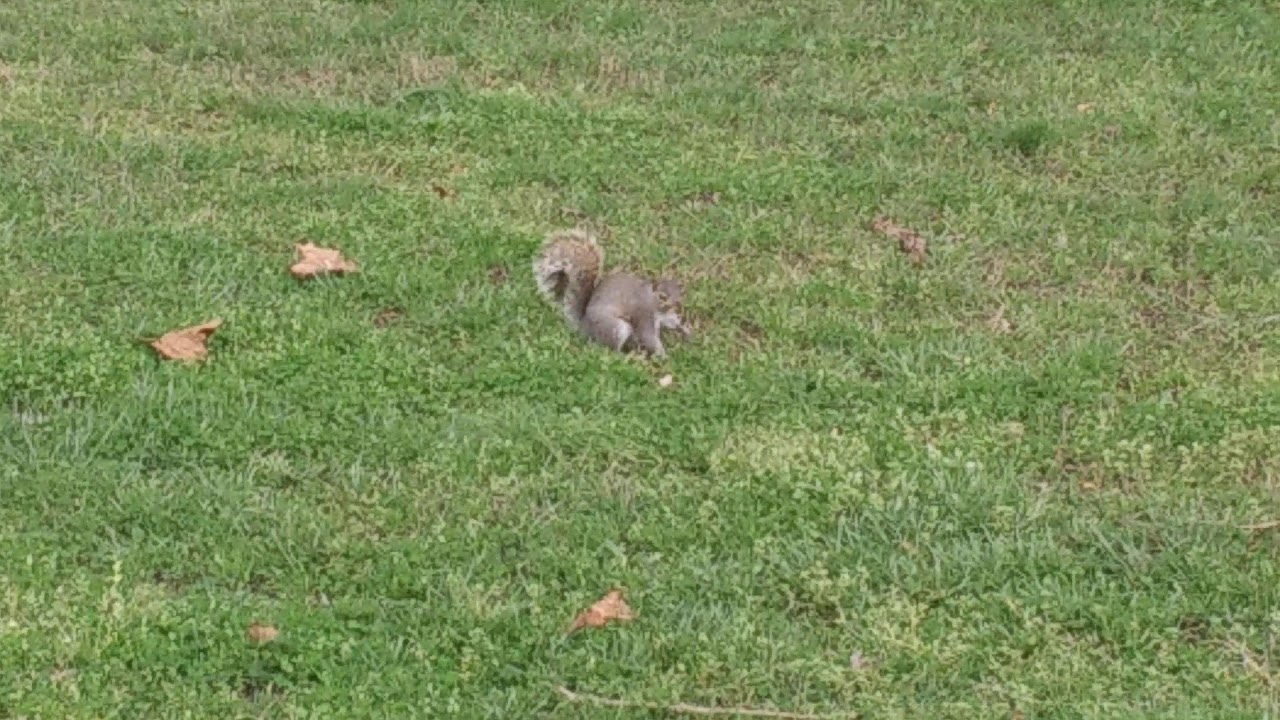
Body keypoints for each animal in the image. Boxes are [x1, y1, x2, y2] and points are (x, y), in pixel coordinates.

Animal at [532, 229, 690, 357]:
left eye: (680, 293)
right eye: (662, 296)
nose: (676, 305)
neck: (652, 301)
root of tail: (586, 328)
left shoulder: (664, 315)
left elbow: (670, 321)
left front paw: (684, 328)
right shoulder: (643, 314)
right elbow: (648, 336)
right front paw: (664, 356)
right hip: (616, 328)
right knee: (611, 349)